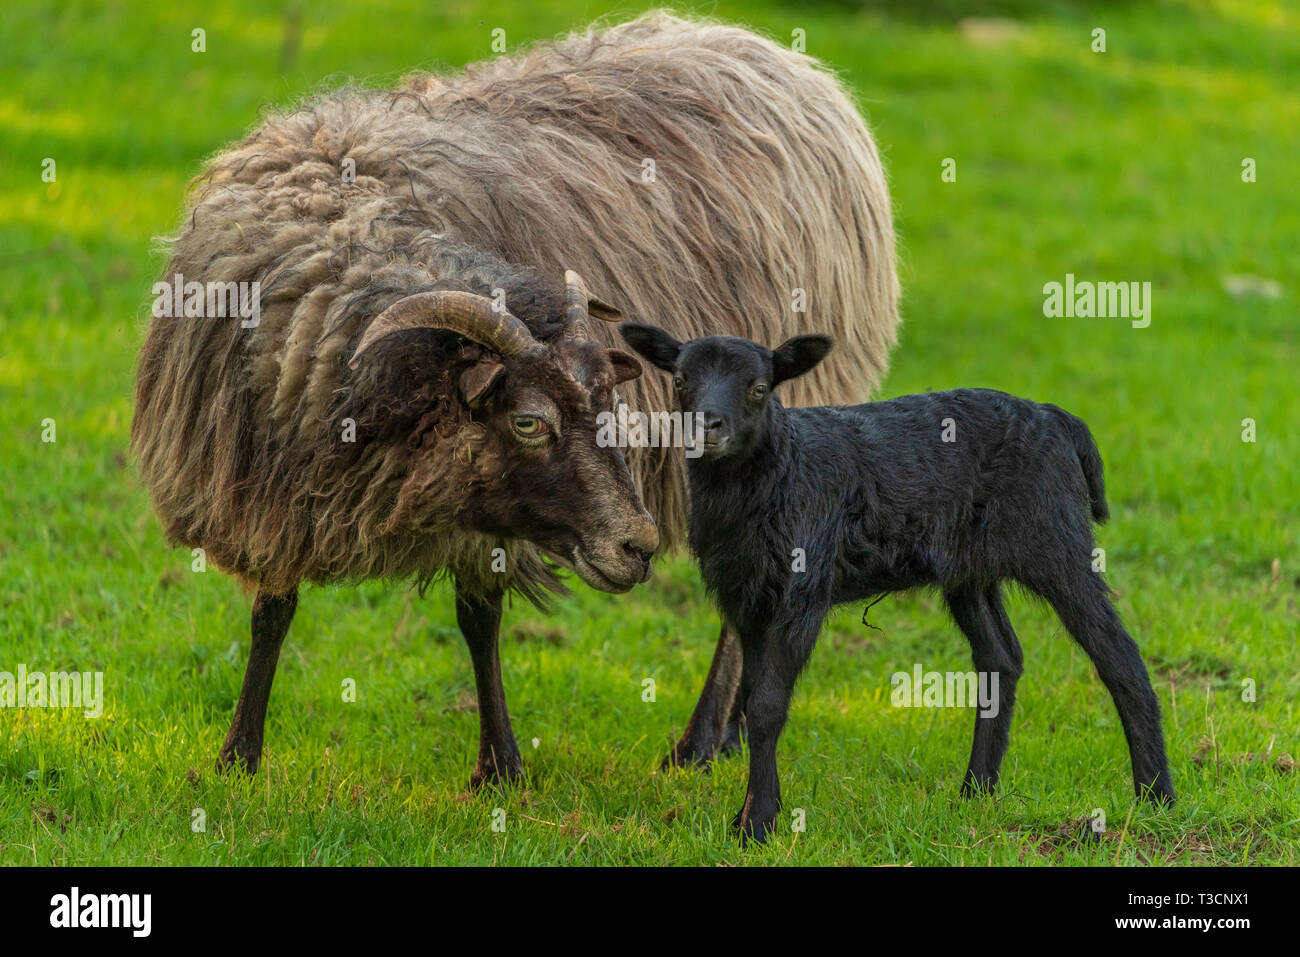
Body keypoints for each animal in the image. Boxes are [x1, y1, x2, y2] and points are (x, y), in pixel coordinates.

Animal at [130, 13, 900, 785]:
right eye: (529, 422)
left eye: (609, 410)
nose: (640, 545)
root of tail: (757, 46)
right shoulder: (267, 484)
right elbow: (273, 611)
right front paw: (239, 754)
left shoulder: (484, 516)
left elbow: (479, 619)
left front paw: (499, 764)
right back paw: (732, 728)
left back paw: (702, 740)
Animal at [619, 323, 1175, 843]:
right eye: (679, 380)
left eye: (759, 388)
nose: (706, 426)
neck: (778, 472)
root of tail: (1056, 418)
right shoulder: (746, 600)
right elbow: (754, 701)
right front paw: (753, 813)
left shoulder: (803, 590)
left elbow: (768, 706)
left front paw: (757, 823)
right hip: (969, 568)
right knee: (1000, 658)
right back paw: (976, 790)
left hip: (1055, 539)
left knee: (1118, 655)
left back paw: (1155, 796)